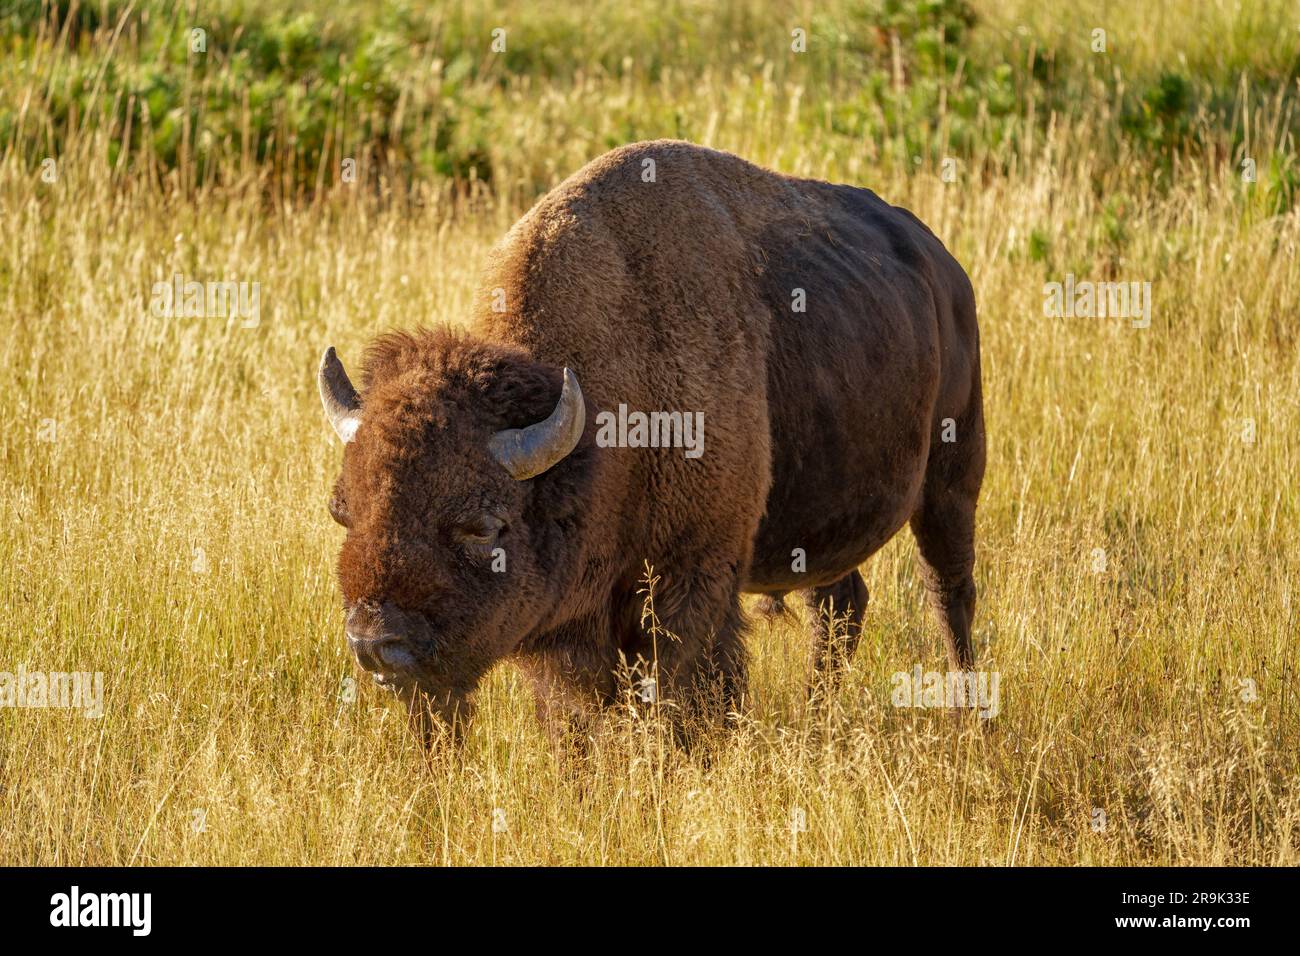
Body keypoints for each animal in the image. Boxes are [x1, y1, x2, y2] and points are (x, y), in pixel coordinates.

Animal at [318, 140, 985, 743]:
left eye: (482, 527)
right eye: (341, 512)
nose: (376, 644)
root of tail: (944, 267)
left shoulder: (689, 581)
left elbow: (686, 694)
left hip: (952, 482)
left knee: (948, 592)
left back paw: (968, 718)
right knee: (840, 604)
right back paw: (820, 719)